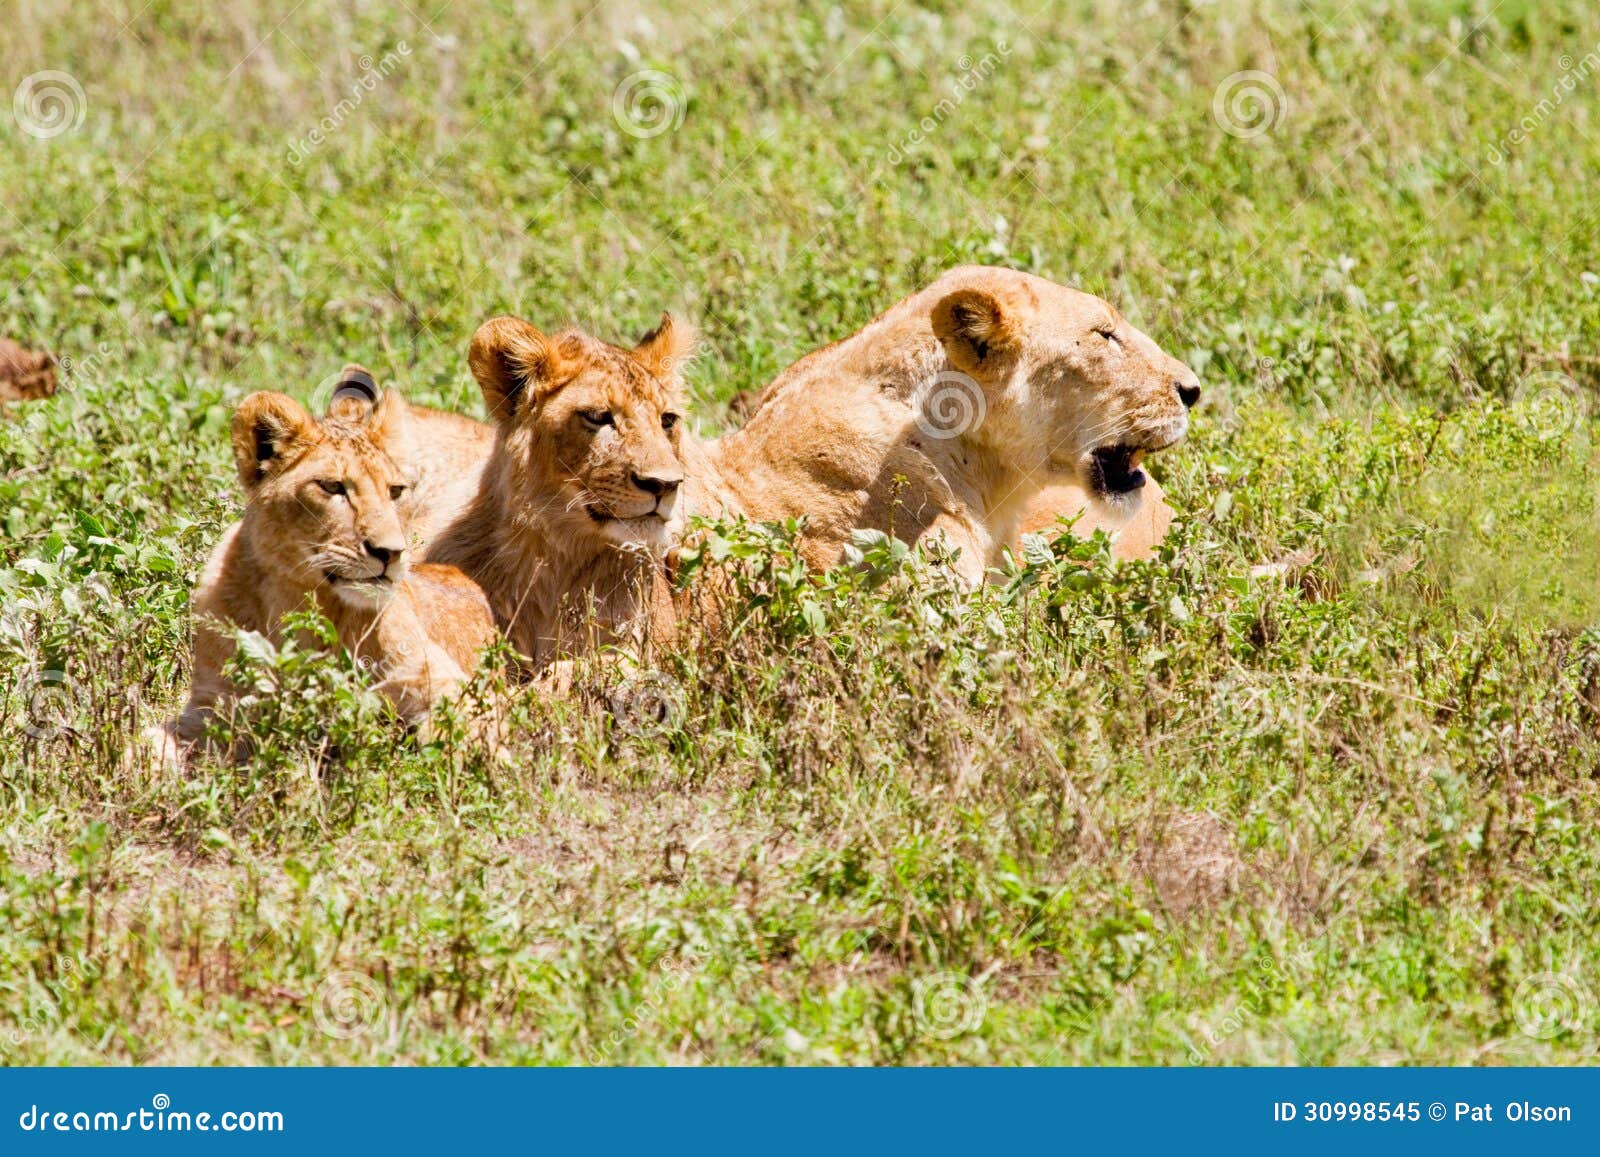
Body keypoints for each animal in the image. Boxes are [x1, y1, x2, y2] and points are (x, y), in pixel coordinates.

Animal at [157, 383, 497, 757]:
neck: (299, 602)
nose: (391, 552)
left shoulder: (452, 687)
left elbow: (464, 735)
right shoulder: (209, 707)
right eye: (333, 487)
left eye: (395, 491)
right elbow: (151, 745)